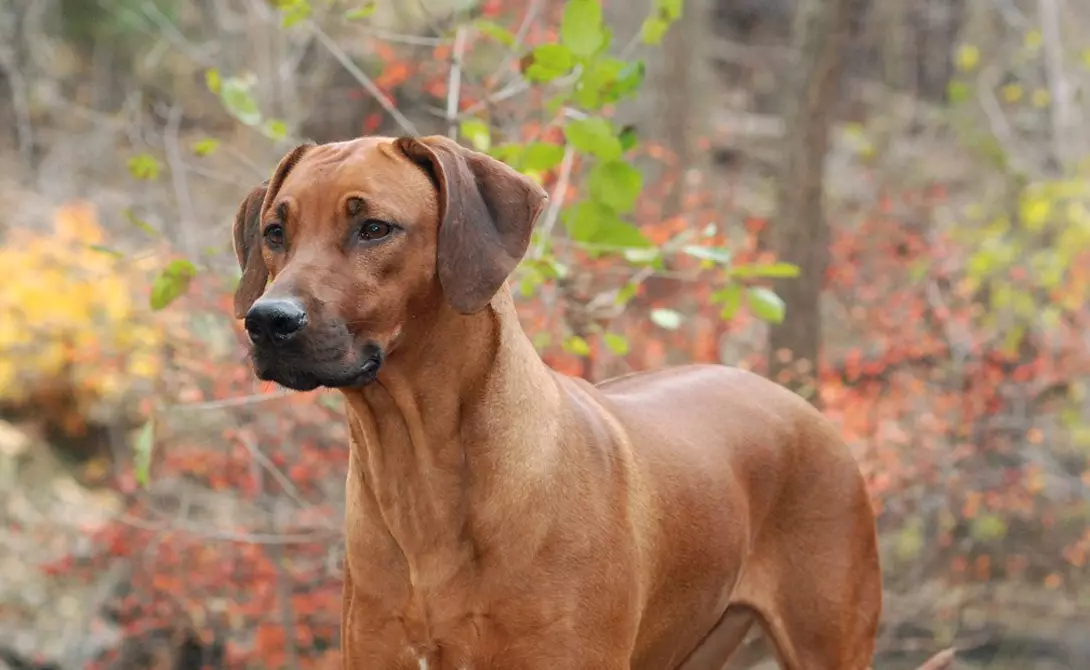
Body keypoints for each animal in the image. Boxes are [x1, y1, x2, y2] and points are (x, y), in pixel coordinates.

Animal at [232, 136, 954, 670]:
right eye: (275, 231)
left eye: (374, 228)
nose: (267, 320)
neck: (422, 476)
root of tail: (798, 401)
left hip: (829, 633)